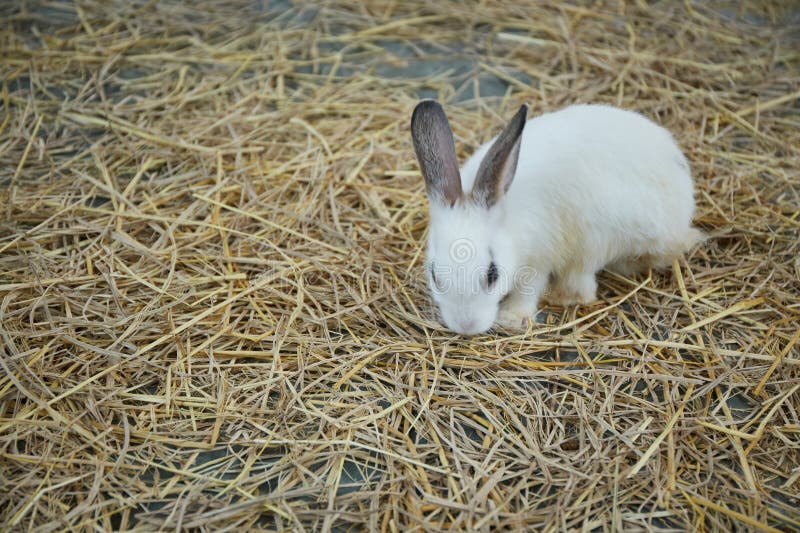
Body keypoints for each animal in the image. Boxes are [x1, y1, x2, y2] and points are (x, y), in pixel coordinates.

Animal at [411, 100, 703, 335]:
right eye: (434, 275)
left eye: (493, 274)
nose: (466, 327)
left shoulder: (539, 258)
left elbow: (529, 290)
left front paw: (511, 318)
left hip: (597, 237)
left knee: (583, 288)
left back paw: (559, 295)